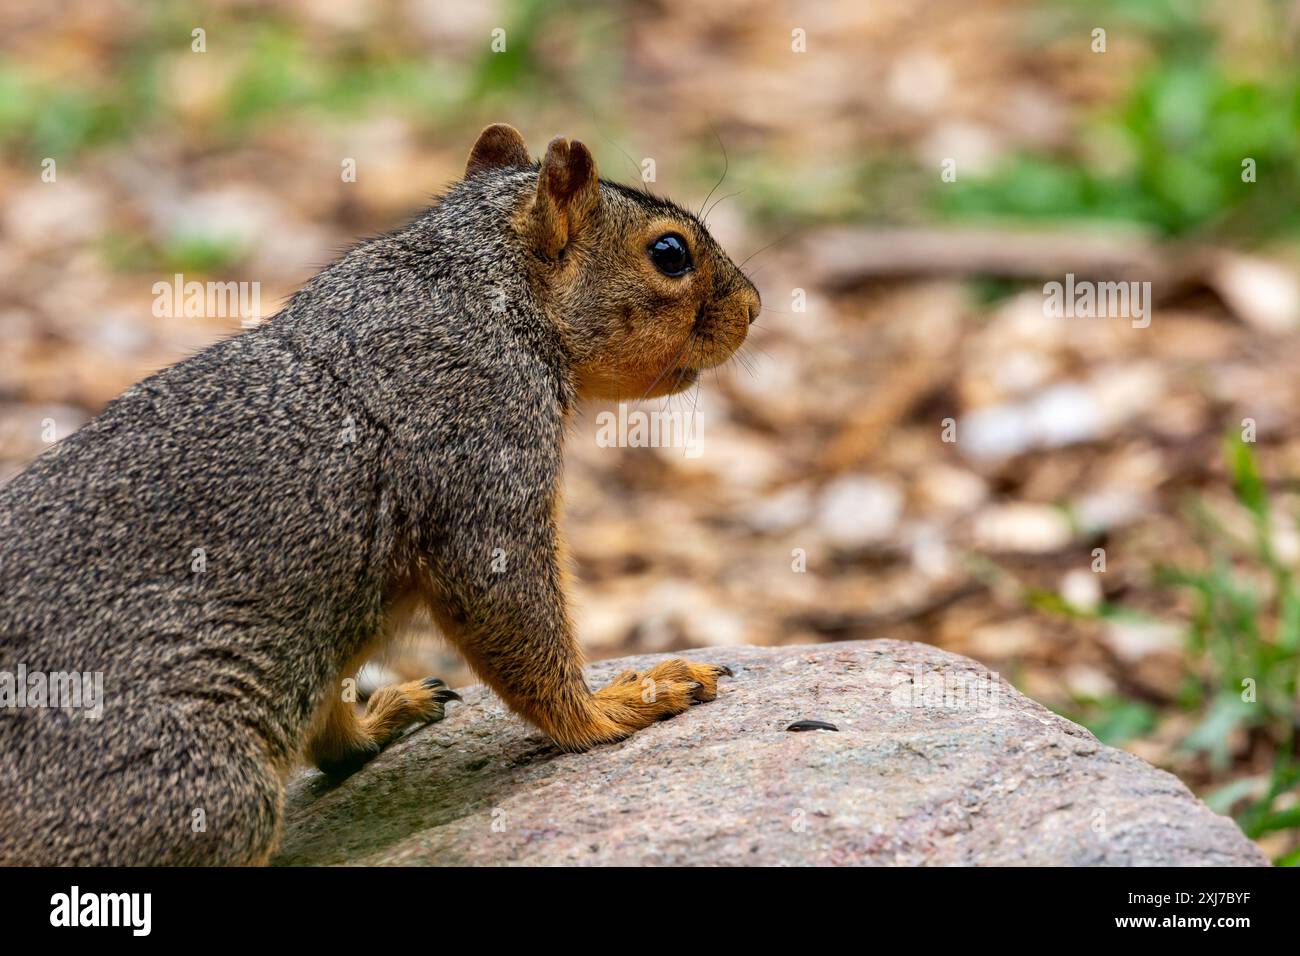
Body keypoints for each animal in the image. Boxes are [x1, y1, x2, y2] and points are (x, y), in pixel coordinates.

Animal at [0, 124, 760, 865]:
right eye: (669, 253)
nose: (754, 306)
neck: (483, 282)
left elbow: (331, 711)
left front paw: (374, 724)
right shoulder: (480, 450)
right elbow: (512, 612)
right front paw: (618, 704)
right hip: (189, 784)